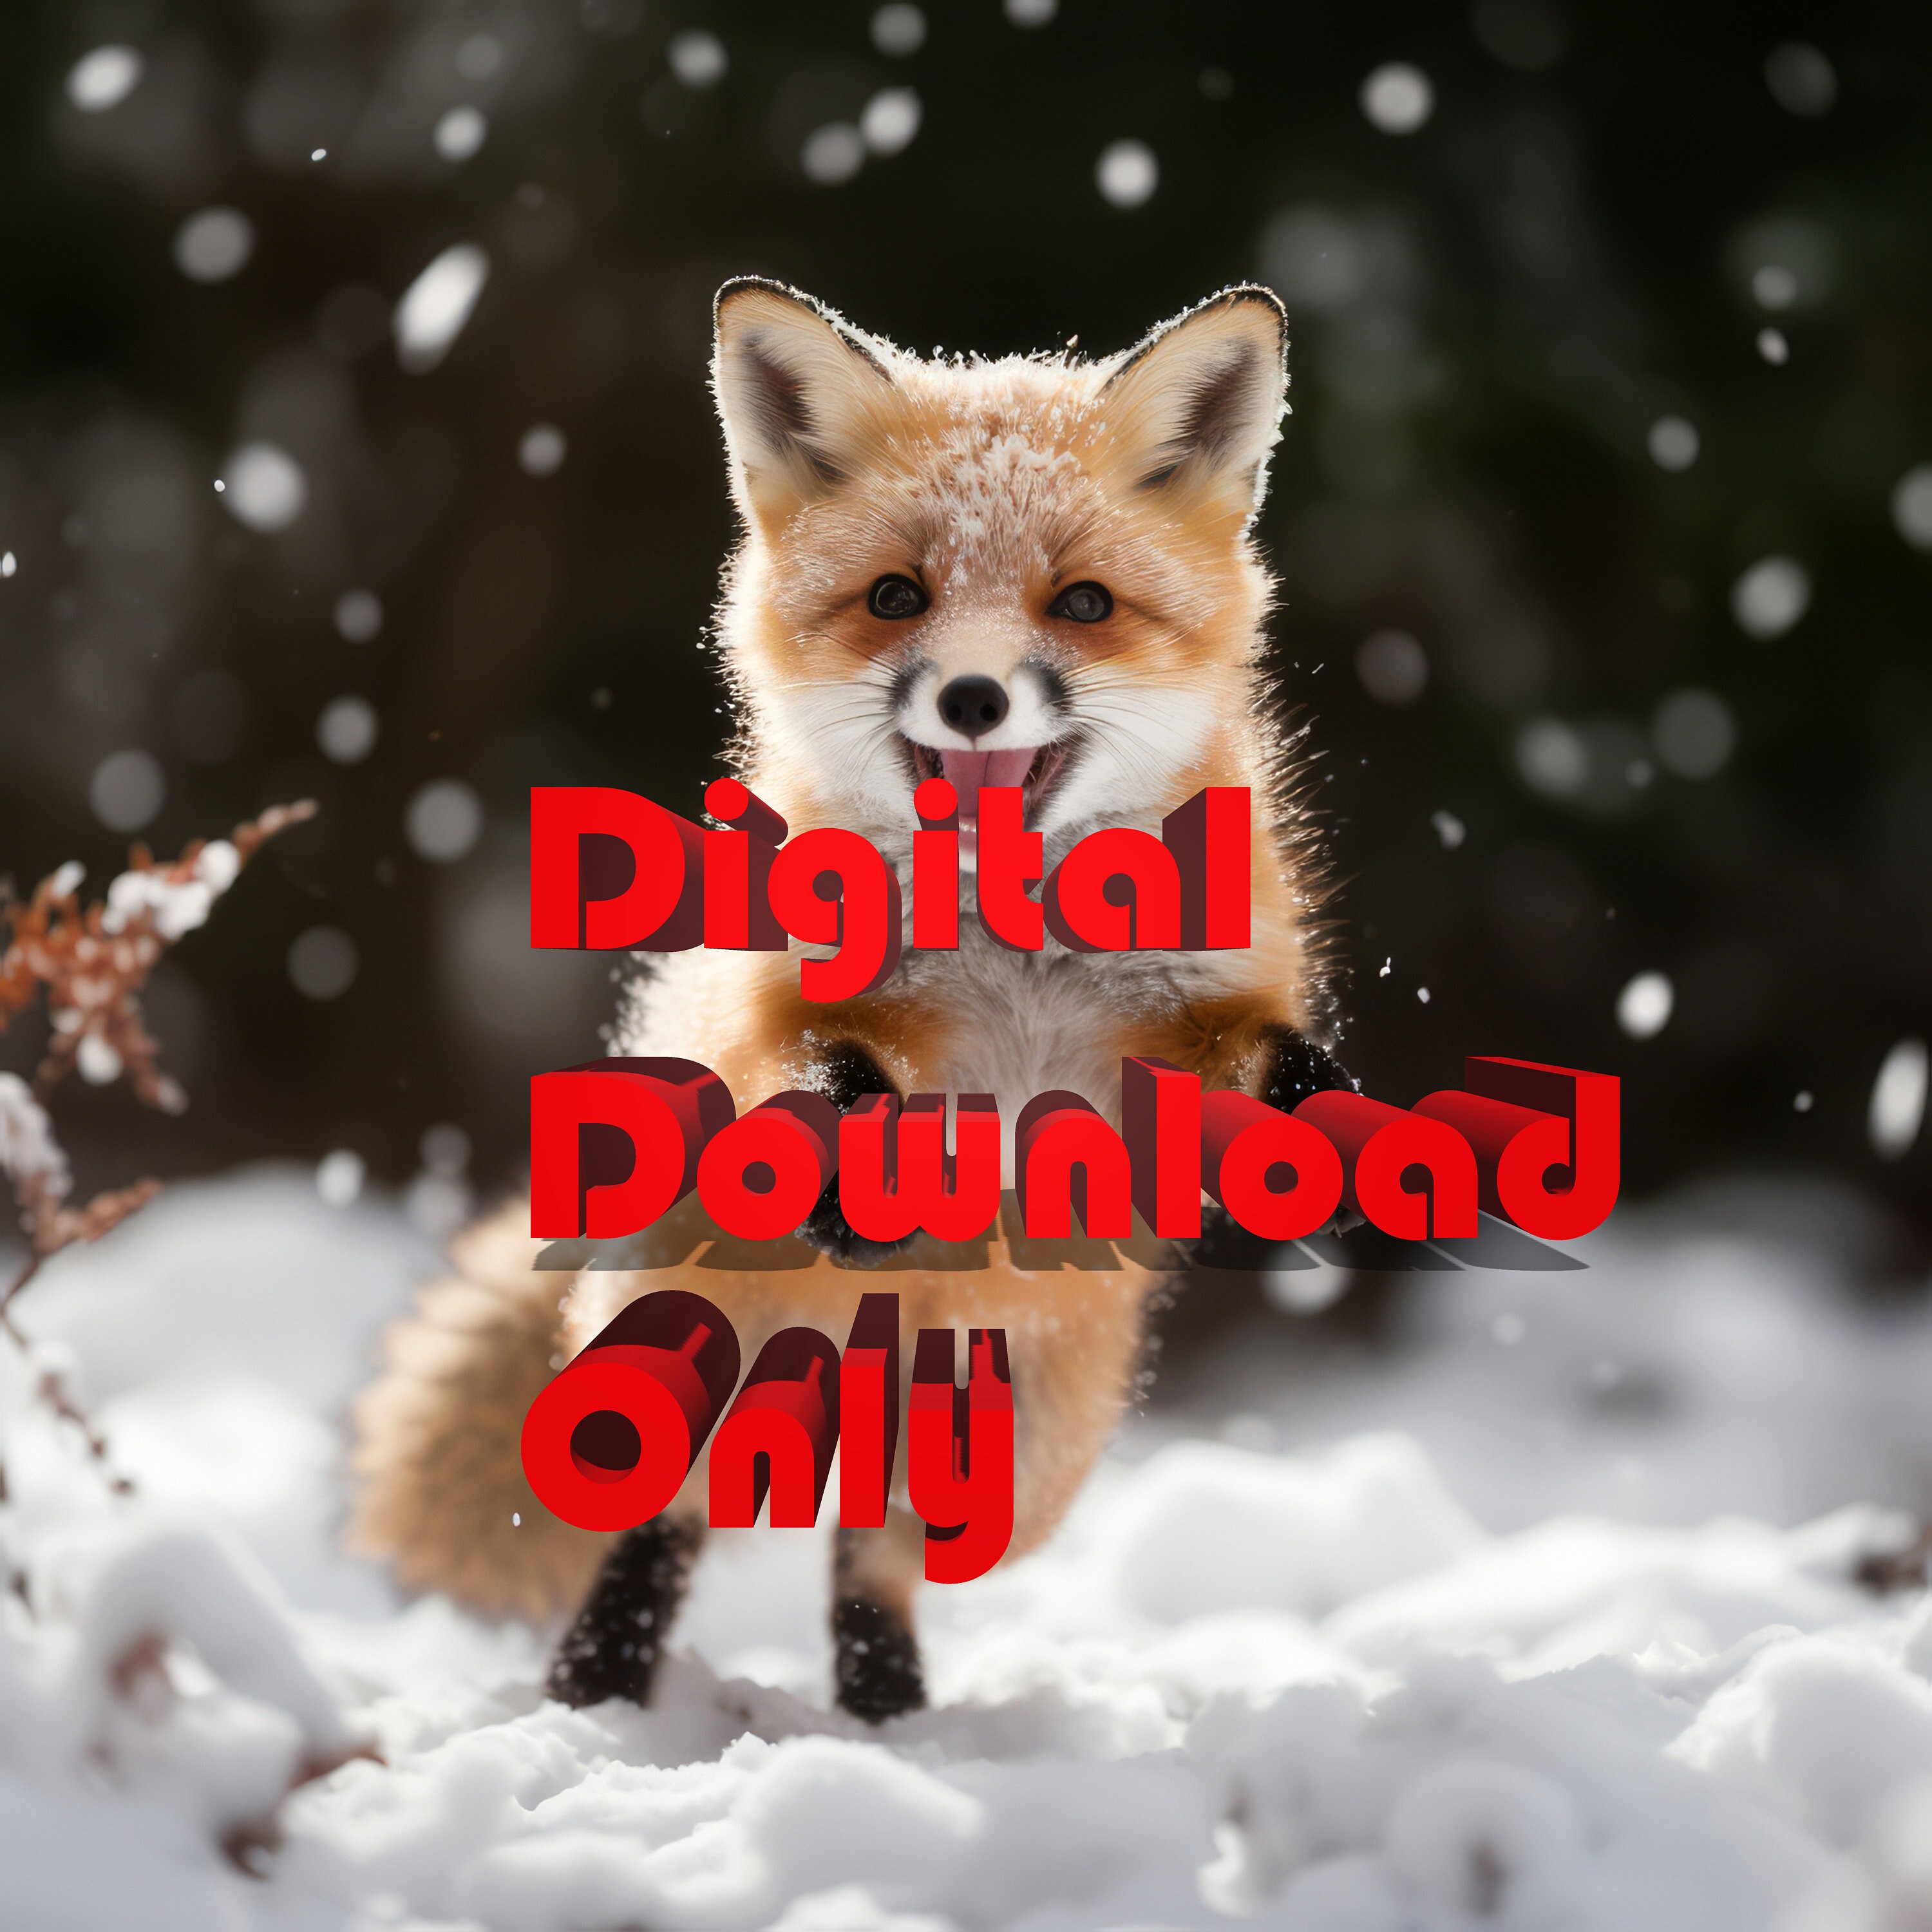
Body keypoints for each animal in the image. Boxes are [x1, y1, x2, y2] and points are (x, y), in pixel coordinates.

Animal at [347, 278, 1350, 1723]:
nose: (975, 695)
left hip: (1013, 1463)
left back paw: (885, 1709)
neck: (1008, 945)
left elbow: (1272, 1065)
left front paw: (1341, 1132)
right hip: (675, 1360)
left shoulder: (1179, 1031)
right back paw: (601, 1688)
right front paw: (859, 1172)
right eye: (896, 596)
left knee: (865, 1551)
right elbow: (823, 1069)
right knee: (667, 1522)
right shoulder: (781, 1009)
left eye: (1082, 603)